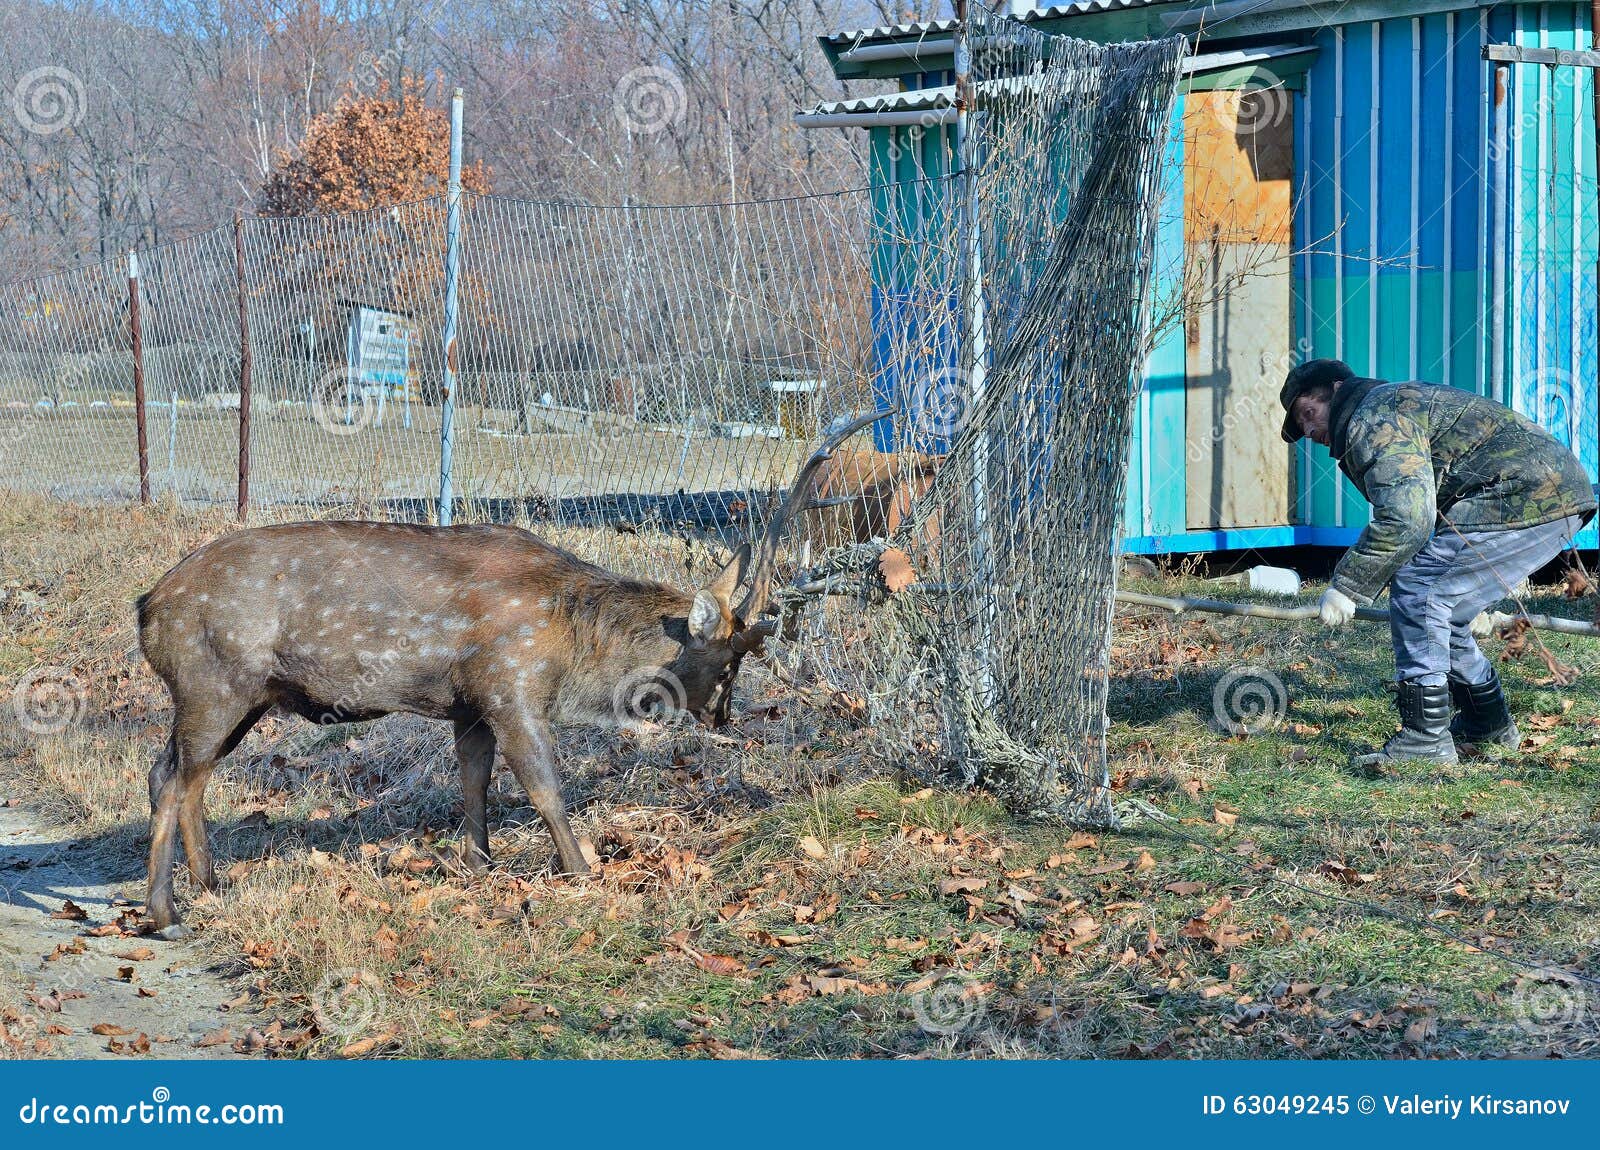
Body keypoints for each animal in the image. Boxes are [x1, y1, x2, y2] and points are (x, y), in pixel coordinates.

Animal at [135, 411, 878, 938]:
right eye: (729, 662)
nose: (723, 718)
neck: (573, 644)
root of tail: (146, 606)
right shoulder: (512, 686)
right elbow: (546, 789)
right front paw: (583, 871)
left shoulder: (469, 703)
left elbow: (475, 784)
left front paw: (479, 864)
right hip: (212, 679)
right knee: (172, 777)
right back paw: (166, 914)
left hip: (247, 695)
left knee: (179, 773)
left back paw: (212, 884)